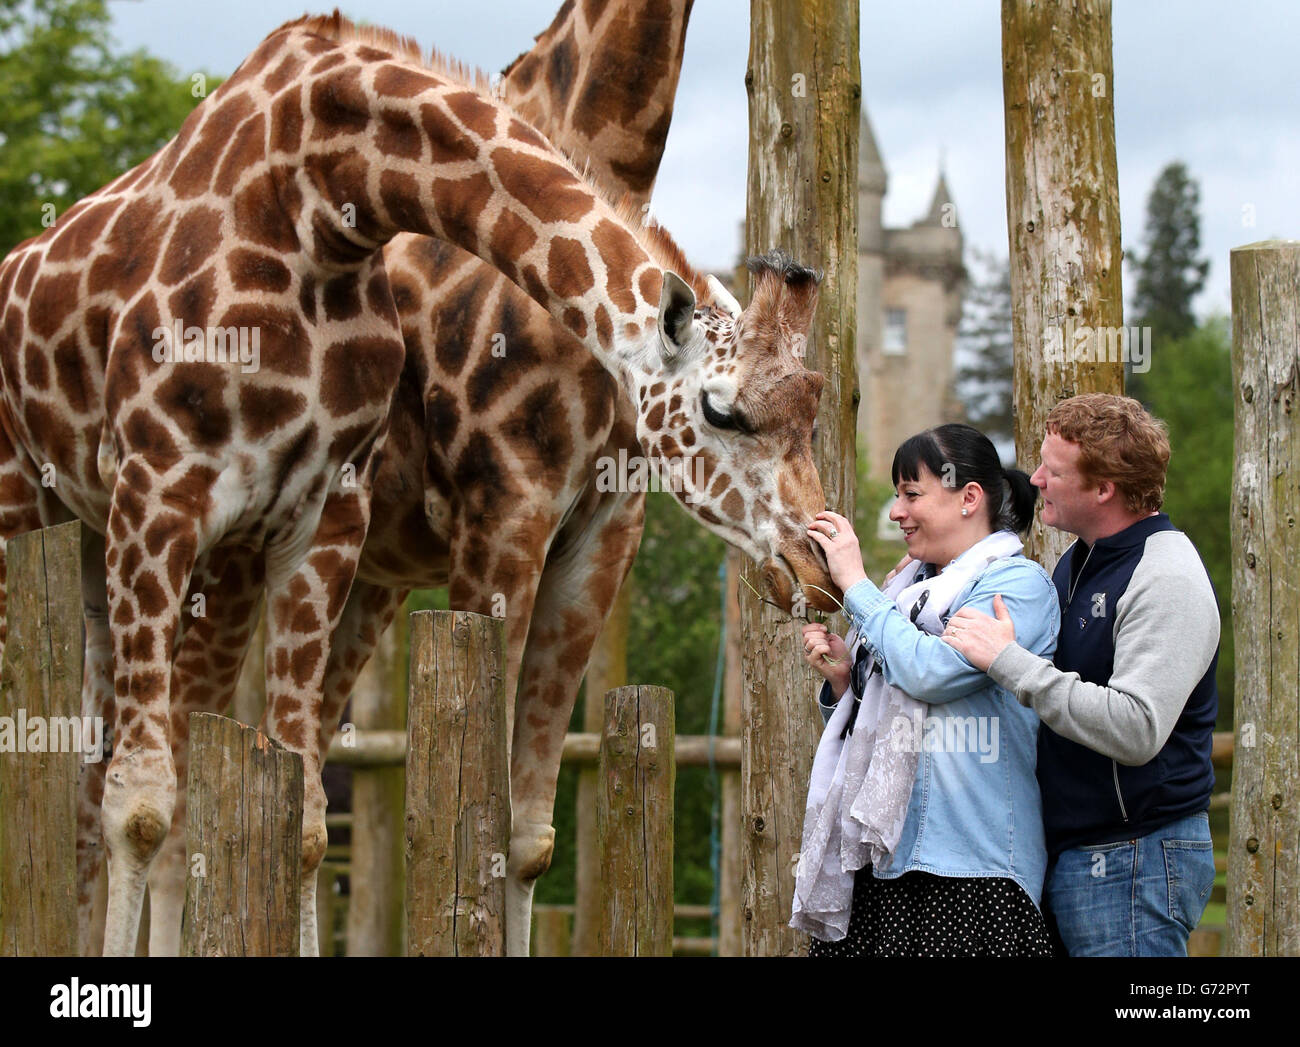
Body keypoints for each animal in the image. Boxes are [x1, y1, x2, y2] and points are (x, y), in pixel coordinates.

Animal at [0, 9, 838, 957]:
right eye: (720, 410)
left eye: (815, 409)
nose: (818, 567)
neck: (320, 192)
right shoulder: (488, 512)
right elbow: (151, 808)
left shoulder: (577, 537)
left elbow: (505, 833)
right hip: (49, 514)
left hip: (203, 562)